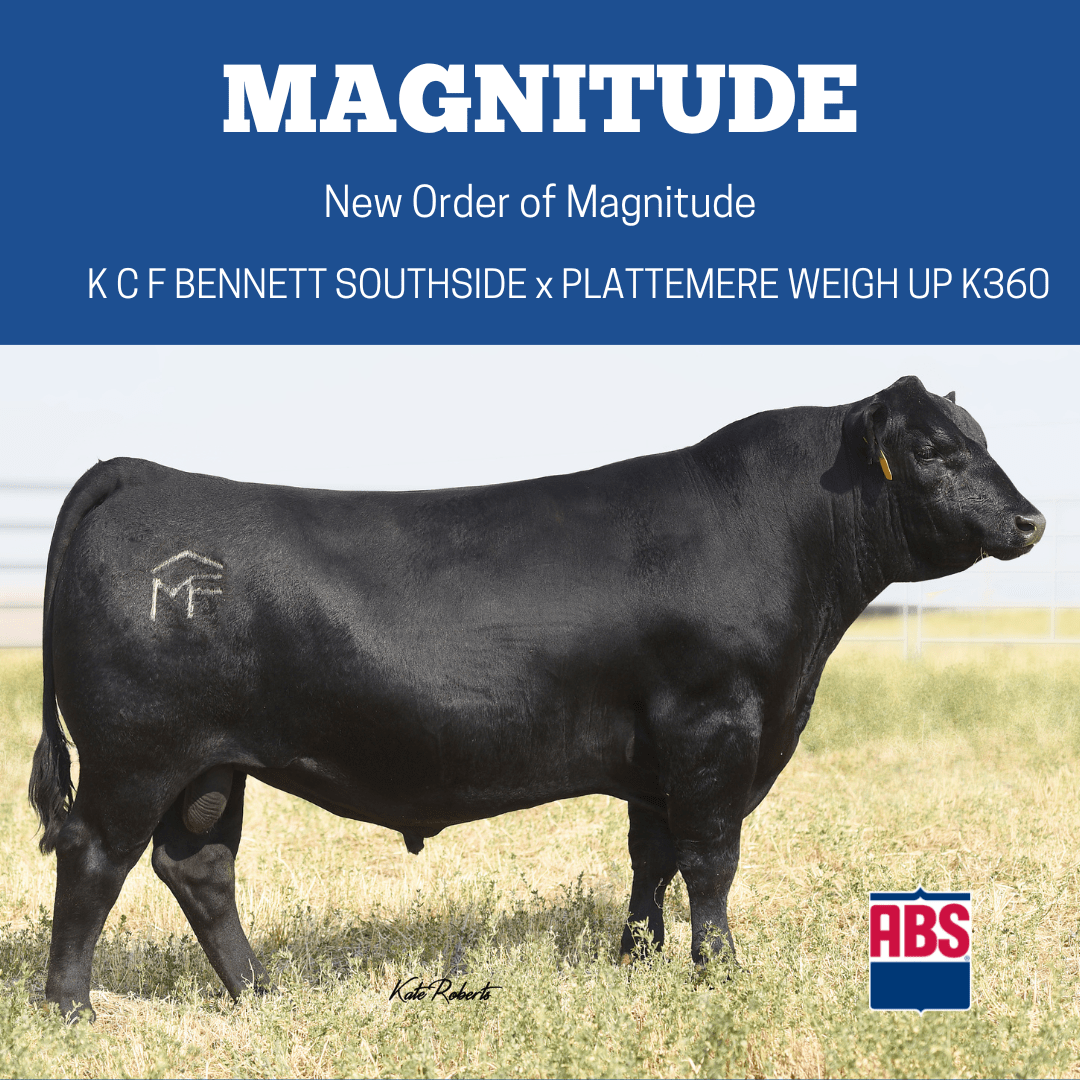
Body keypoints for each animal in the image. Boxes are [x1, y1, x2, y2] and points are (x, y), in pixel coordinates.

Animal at [29, 376, 1044, 1020]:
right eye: (932, 448)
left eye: (983, 443)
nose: (1030, 519)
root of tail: (147, 474)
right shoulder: (715, 725)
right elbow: (711, 858)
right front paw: (720, 972)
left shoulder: (658, 752)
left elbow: (652, 857)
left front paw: (636, 959)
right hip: (136, 753)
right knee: (95, 858)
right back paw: (73, 1009)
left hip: (211, 764)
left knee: (198, 866)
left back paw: (261, 996)